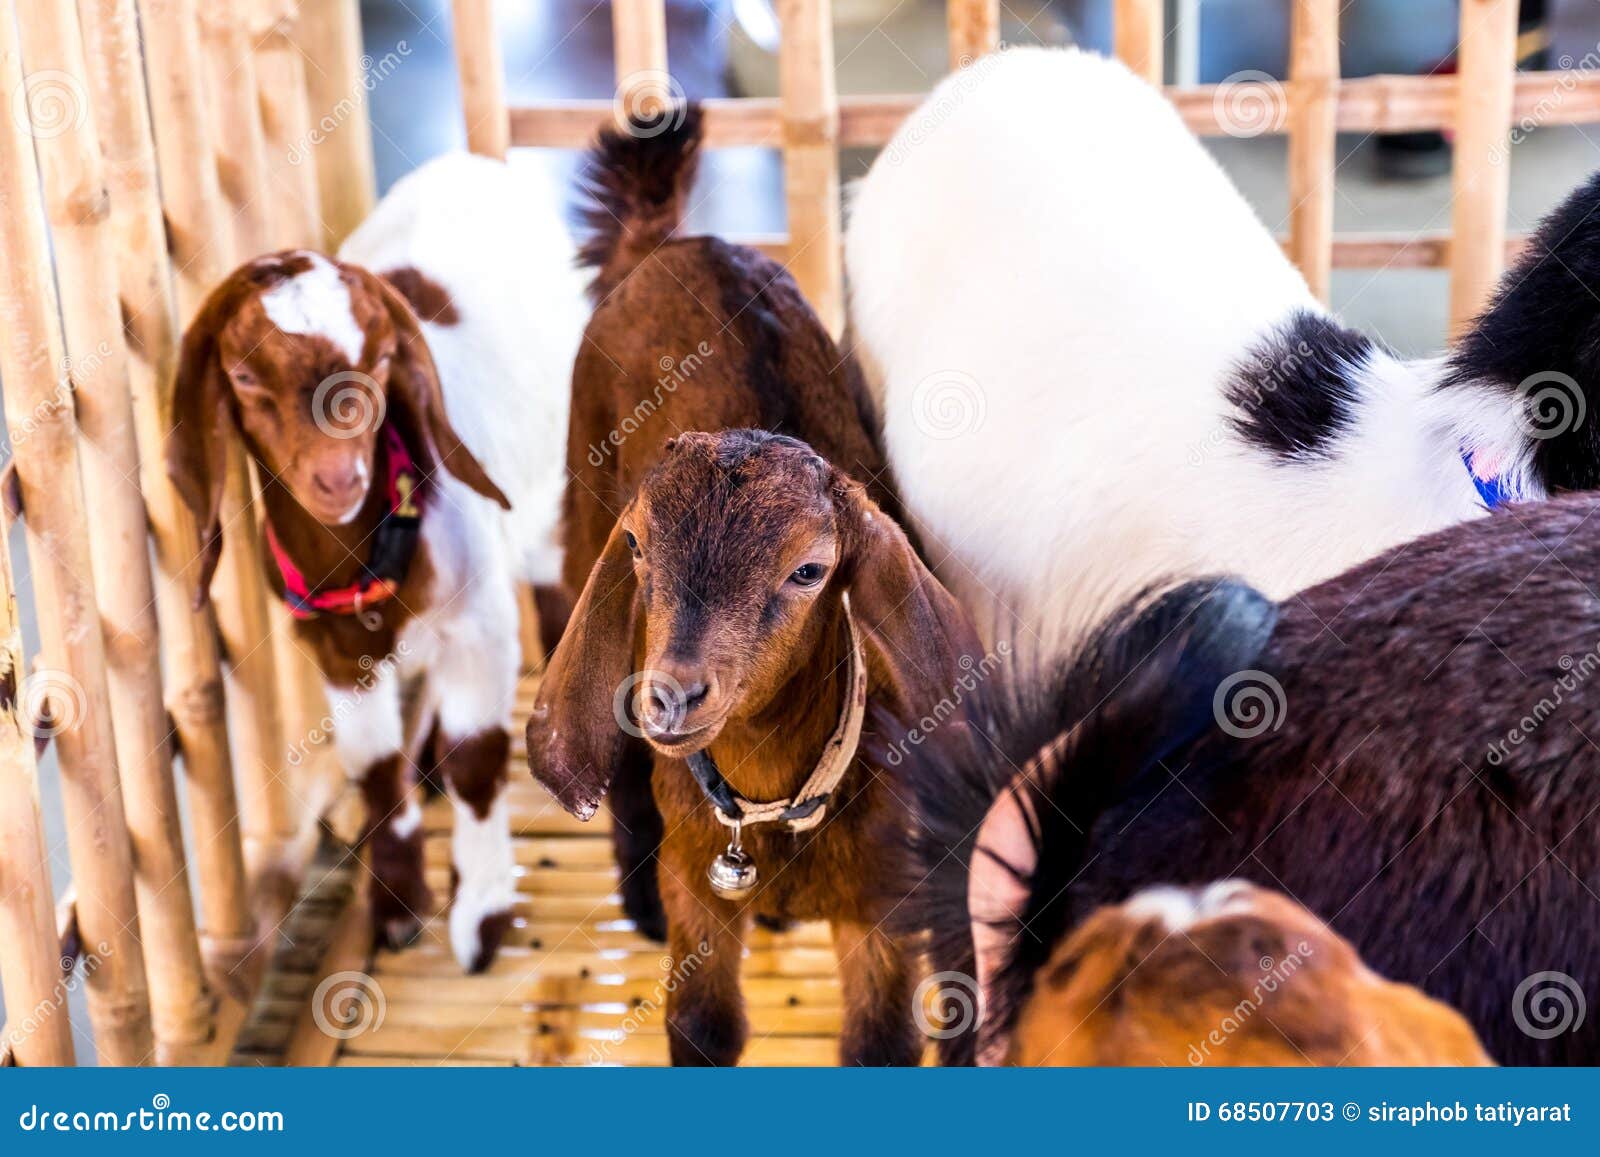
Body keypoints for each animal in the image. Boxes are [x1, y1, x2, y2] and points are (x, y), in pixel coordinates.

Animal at [168, 152, 588, 972]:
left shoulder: (481, 625)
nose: (340, 479)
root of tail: (478, 160)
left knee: (558, 580)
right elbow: (371, 765)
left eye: (385, 358)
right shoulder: (333, 651)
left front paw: (482, 912)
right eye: (245, 377)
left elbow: (478, 757)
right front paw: (395, 903)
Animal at [526, 107, 985, 1065]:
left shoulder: (882, 911)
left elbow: (881, 1043)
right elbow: (701, 1027)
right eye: (640, 548)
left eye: (809, 569)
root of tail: (670, 242)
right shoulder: (700, 897)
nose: (671, 696)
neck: (769, 806)